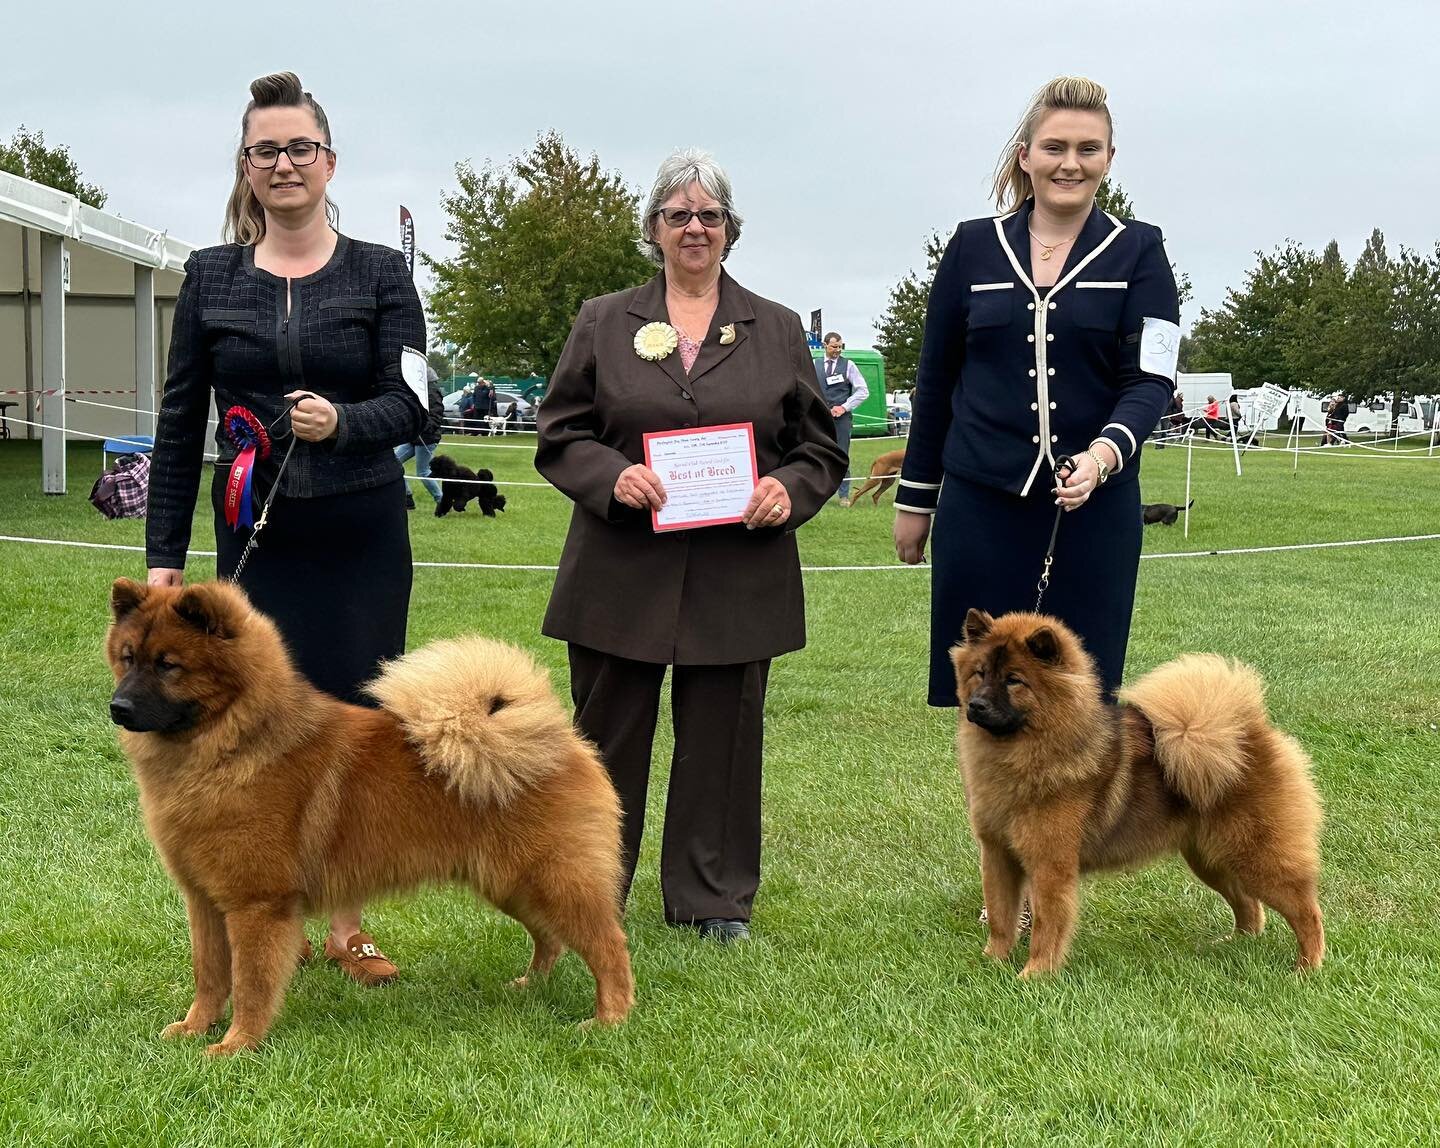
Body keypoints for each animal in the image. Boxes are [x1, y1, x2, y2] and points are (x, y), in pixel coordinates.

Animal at [106, 579, 630, 1054]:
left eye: (169, 665)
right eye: (128, 658)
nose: (118, 706)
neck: (236, 744)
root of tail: (562, 739)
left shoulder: (256, 903)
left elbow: (252, 984)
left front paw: (236, 1045)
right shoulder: (206, 901)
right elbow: (211, 976)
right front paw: (194, 1029)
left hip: (554, 880)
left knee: (608, 948)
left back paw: (609, 1020)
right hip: (512, 884)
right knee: (550, 939)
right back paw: (531, 986)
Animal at [950, 607, 1319, 973]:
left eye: (1014, 680)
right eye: (979, 674)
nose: (977, 705)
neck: (1021, 750)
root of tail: (1251, 732)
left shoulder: (1050, 864)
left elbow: (1046, 927)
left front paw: (1034, 974)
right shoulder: (998, 854)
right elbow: (1000, 916)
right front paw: (992, 962)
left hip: (1258, 857)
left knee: (1306, 911)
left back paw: (1307, 967)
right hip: (1210, 859)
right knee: (1249, 905)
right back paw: (1237, 943)